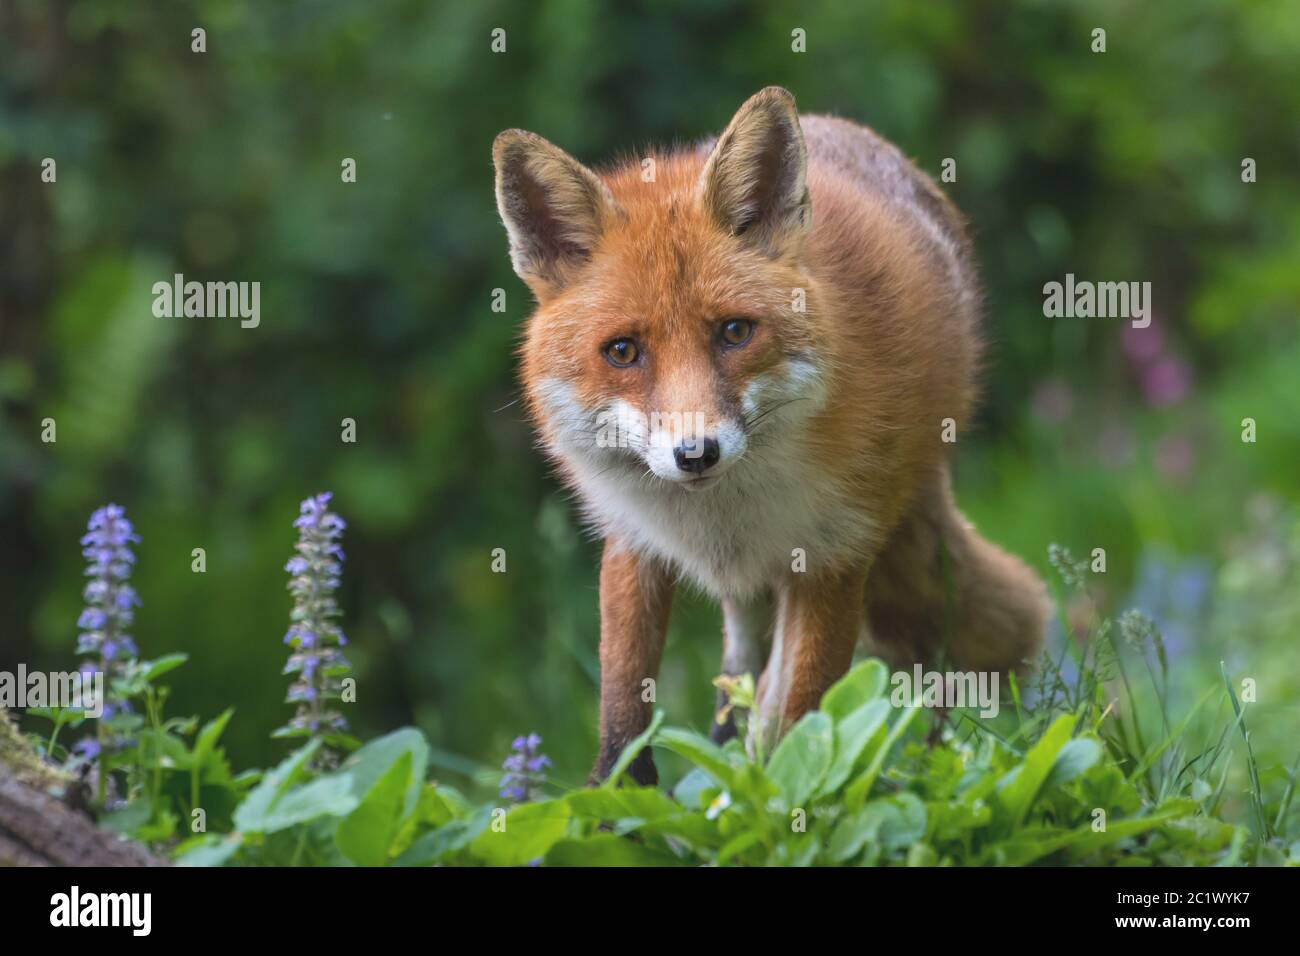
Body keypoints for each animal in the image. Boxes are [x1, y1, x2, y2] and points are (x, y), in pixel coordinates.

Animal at [492, 87, 1050, 786]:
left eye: (734, 332)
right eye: (622, 351)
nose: (694, 453)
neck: (723, 512)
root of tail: (840, 126)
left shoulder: (836, 554)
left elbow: (804, 711)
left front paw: (788, 795)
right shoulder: (633, 540)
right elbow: (623, 704)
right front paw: (616, 797)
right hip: (753, 587)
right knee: (738, 671)